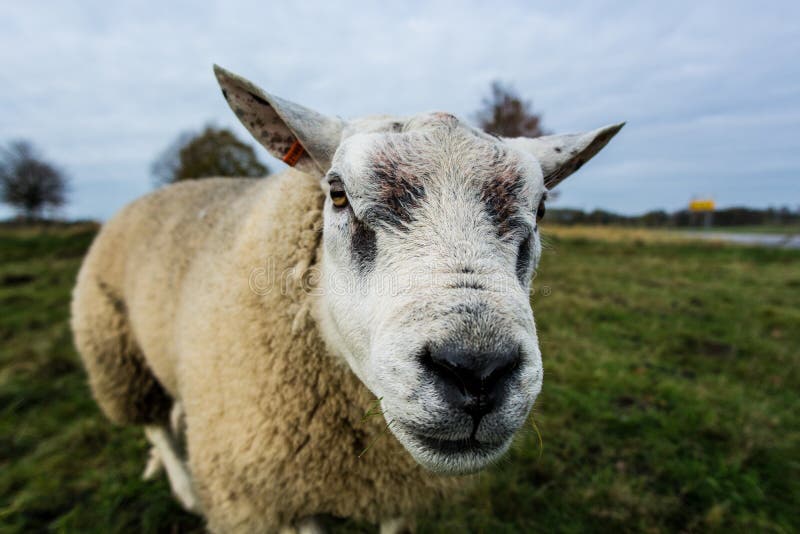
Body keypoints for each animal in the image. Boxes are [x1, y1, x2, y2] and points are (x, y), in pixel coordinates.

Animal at [70, 65, 622, 533]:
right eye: (337, 194)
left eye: (542, 208)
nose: (477, 371)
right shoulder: (278, 498)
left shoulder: (397, 491)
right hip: (115, 349)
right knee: (153, 423)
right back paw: (183, 487)